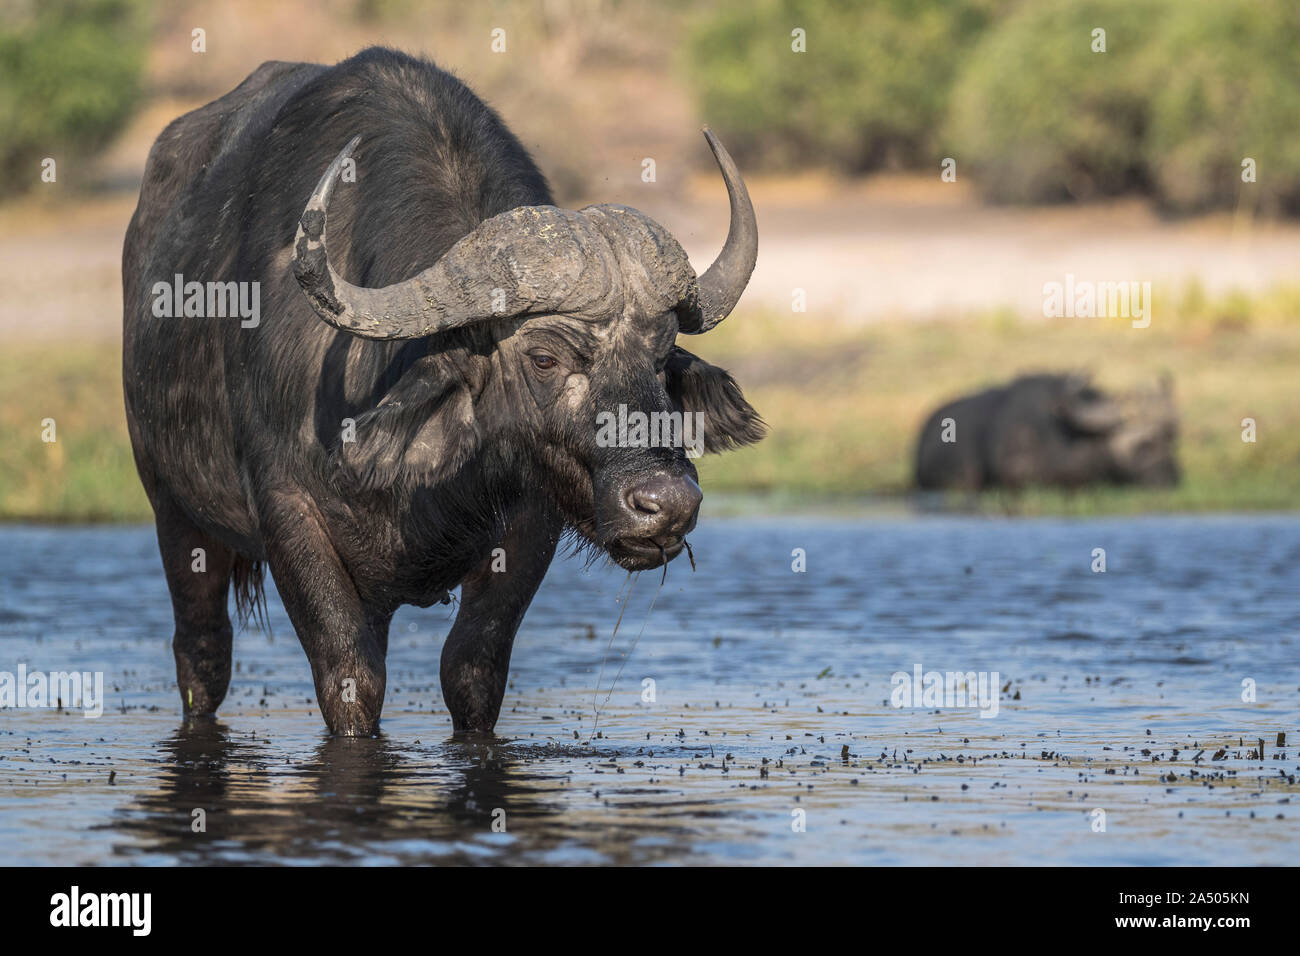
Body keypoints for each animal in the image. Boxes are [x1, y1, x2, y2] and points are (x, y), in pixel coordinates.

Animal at [122, 48, 764, 736]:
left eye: (662, 356)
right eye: (543, 357)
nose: (666, 504)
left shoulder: (530, 519)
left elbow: (472, 672)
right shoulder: (287, 510)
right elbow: (350, 679)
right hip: (173, 507)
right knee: (202, 651)